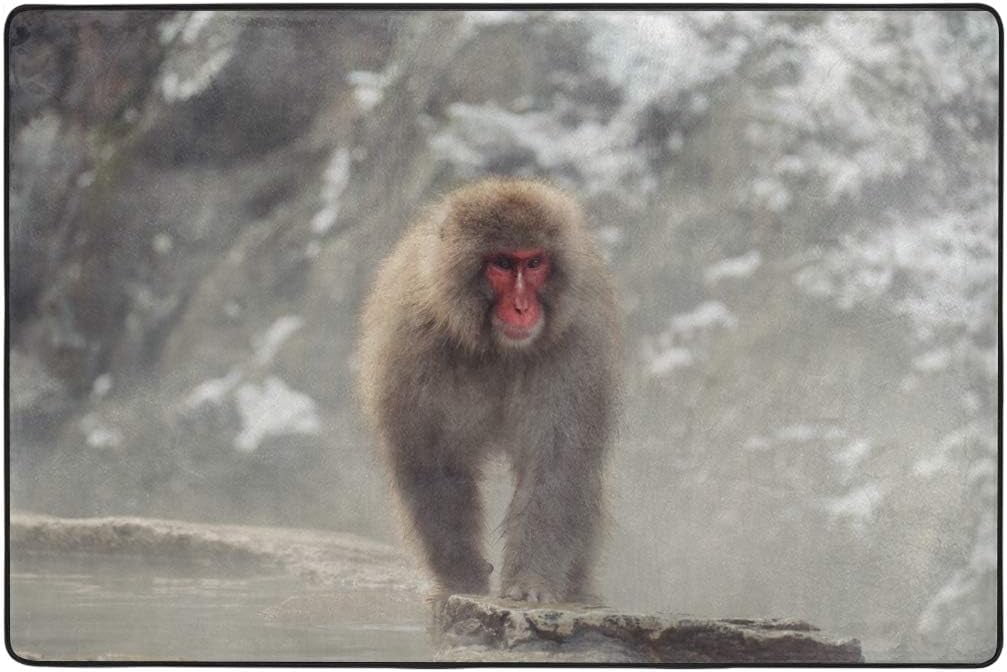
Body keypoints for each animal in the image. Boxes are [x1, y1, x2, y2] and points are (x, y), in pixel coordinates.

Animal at [358, 178, 619, 603]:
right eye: (502, 263)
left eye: (534, 263)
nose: (522, 307)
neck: (499, 349)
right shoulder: (412, 344)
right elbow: (434, 462)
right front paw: (462, 578)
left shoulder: (577, 340)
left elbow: (556, 461)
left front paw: (530, 581)